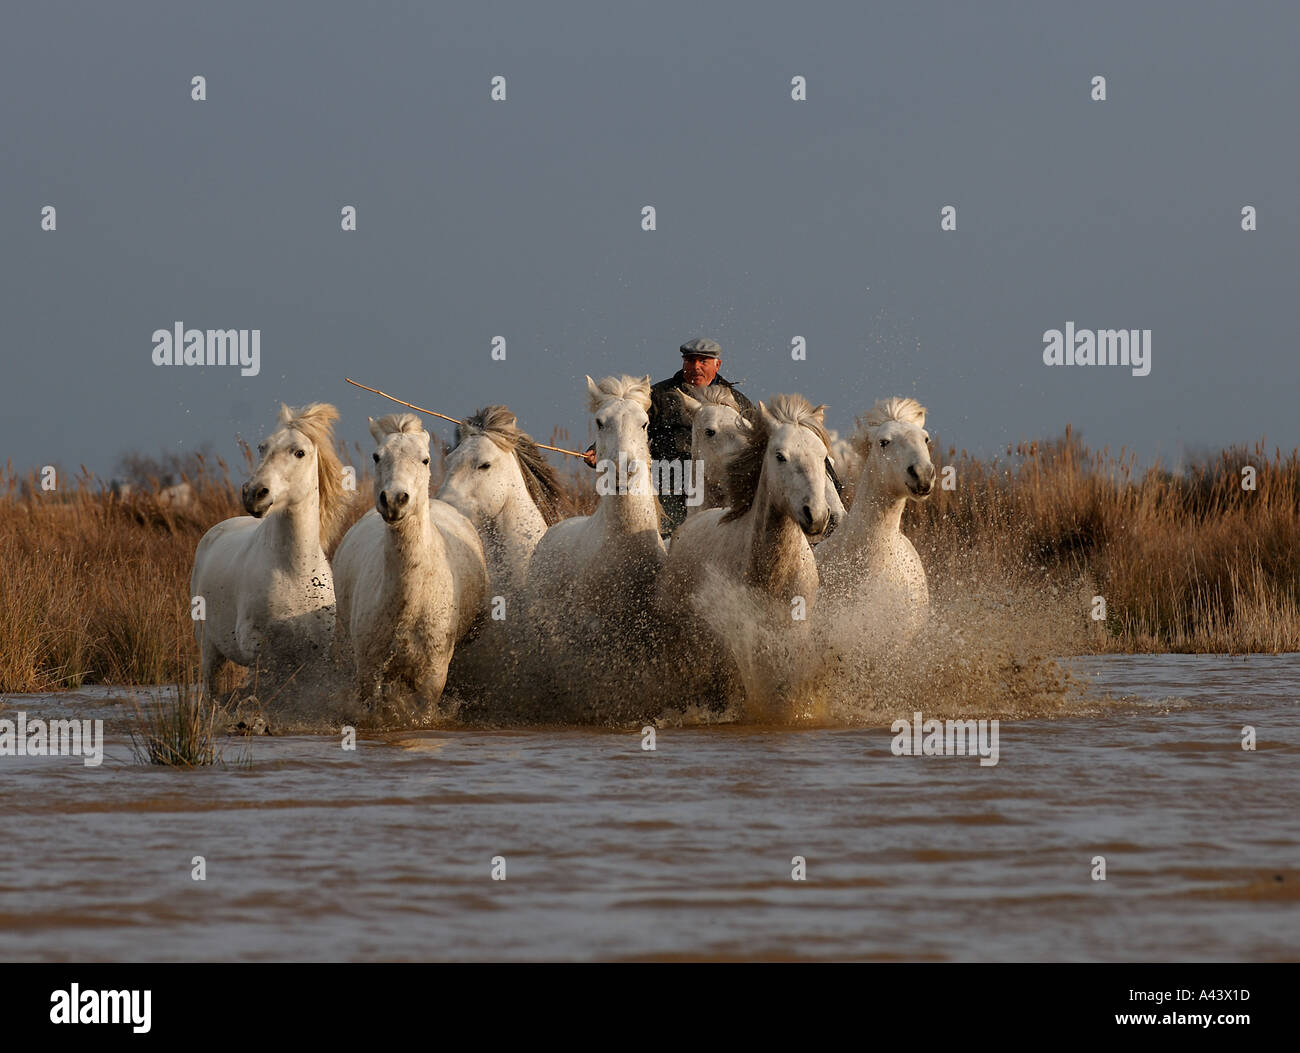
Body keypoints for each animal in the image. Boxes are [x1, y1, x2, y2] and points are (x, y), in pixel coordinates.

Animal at [190, 402, 347, 697]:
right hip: (208, 647)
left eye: (299, 452)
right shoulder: (256, 644)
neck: (293, 571)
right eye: (262, 447)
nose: (254, 494)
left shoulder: (316, 654)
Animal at [331, 413, 488, 712]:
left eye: (425, 459)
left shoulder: (432, 677)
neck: (409, 605)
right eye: (377, 456)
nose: (395, 499)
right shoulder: (369, 671)